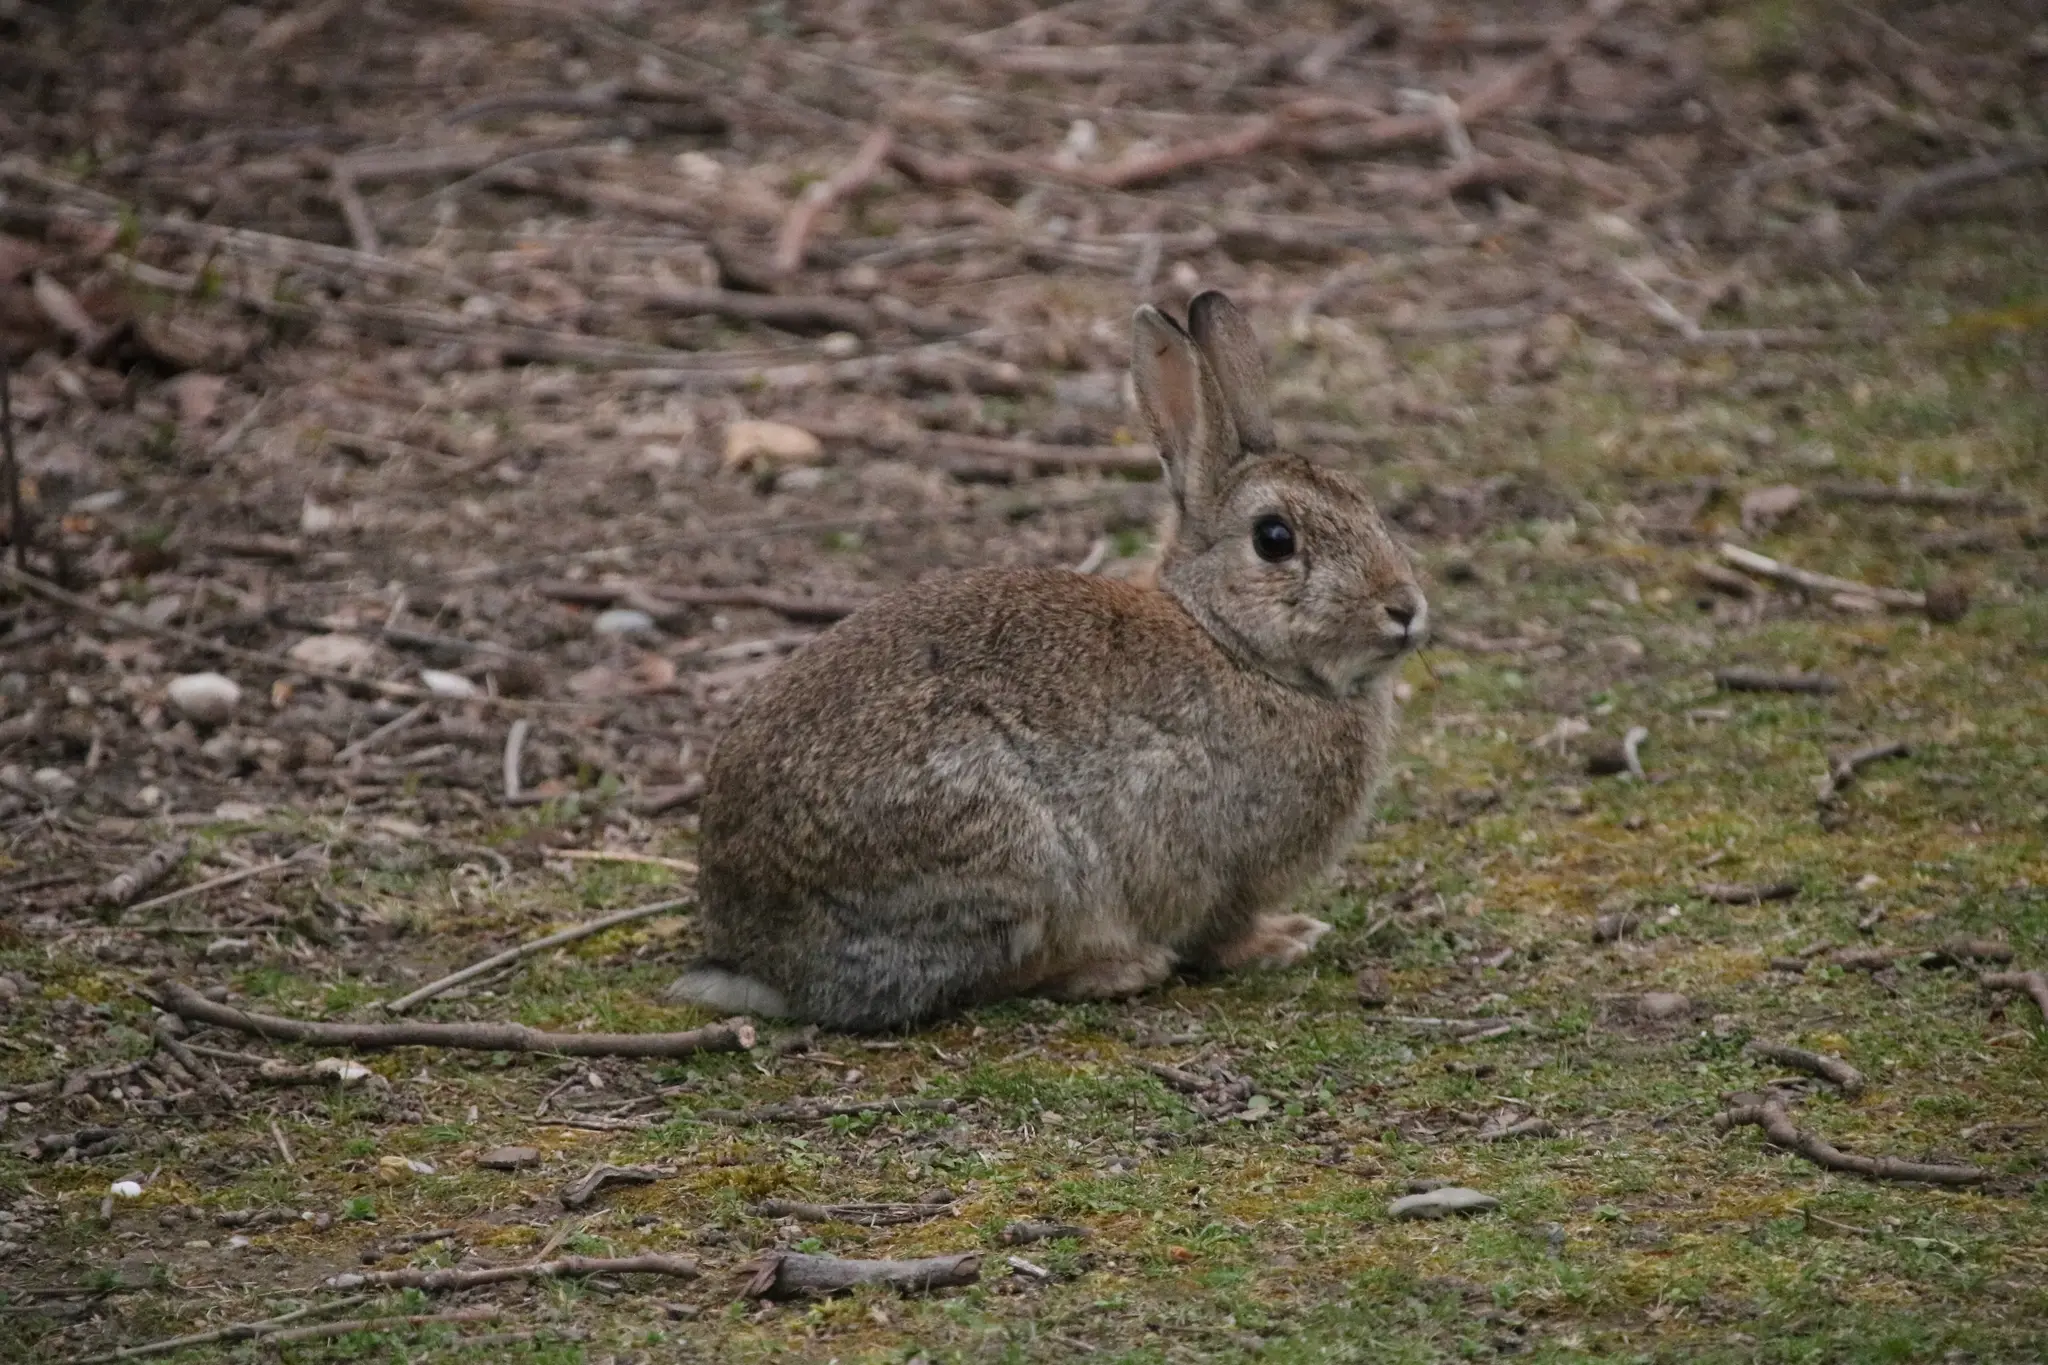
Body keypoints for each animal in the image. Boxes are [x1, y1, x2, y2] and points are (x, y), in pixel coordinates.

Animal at [667, 291, 1426, 1032]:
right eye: (1274, 539)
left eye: (1367, 507)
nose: (1406, 608)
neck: (1231, 642)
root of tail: (761, 956)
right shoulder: (1222, 867)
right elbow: (1222, 931)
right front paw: (1284, 939)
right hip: (1011, 857)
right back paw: (1120, 968)